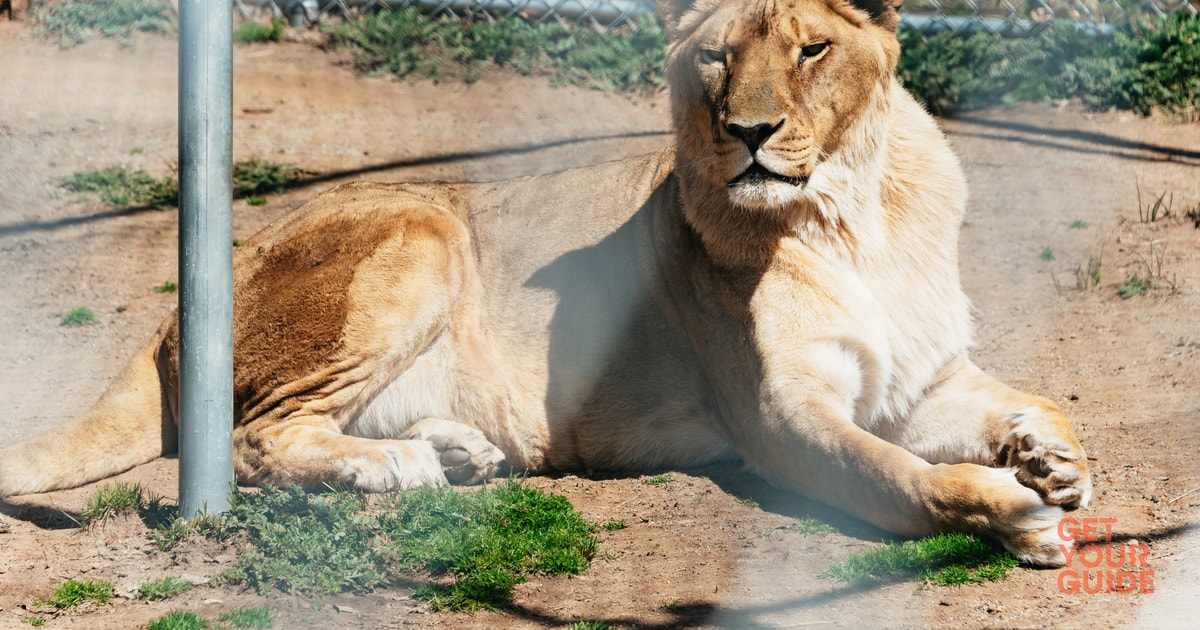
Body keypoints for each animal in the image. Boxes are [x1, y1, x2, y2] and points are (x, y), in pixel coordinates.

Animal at [0, 0, 1090, 566]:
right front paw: (1014, 510)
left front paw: (1050, 459)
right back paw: (396, 467)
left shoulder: (922, 378)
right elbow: (903, 477)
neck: (853, 212)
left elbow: (1028, 399)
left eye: (812, 48)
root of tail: (180, 309)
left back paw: (453, 453)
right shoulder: (784, 421)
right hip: (425, 227)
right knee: (255, 441)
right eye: (716, 57)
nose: (749, 132)